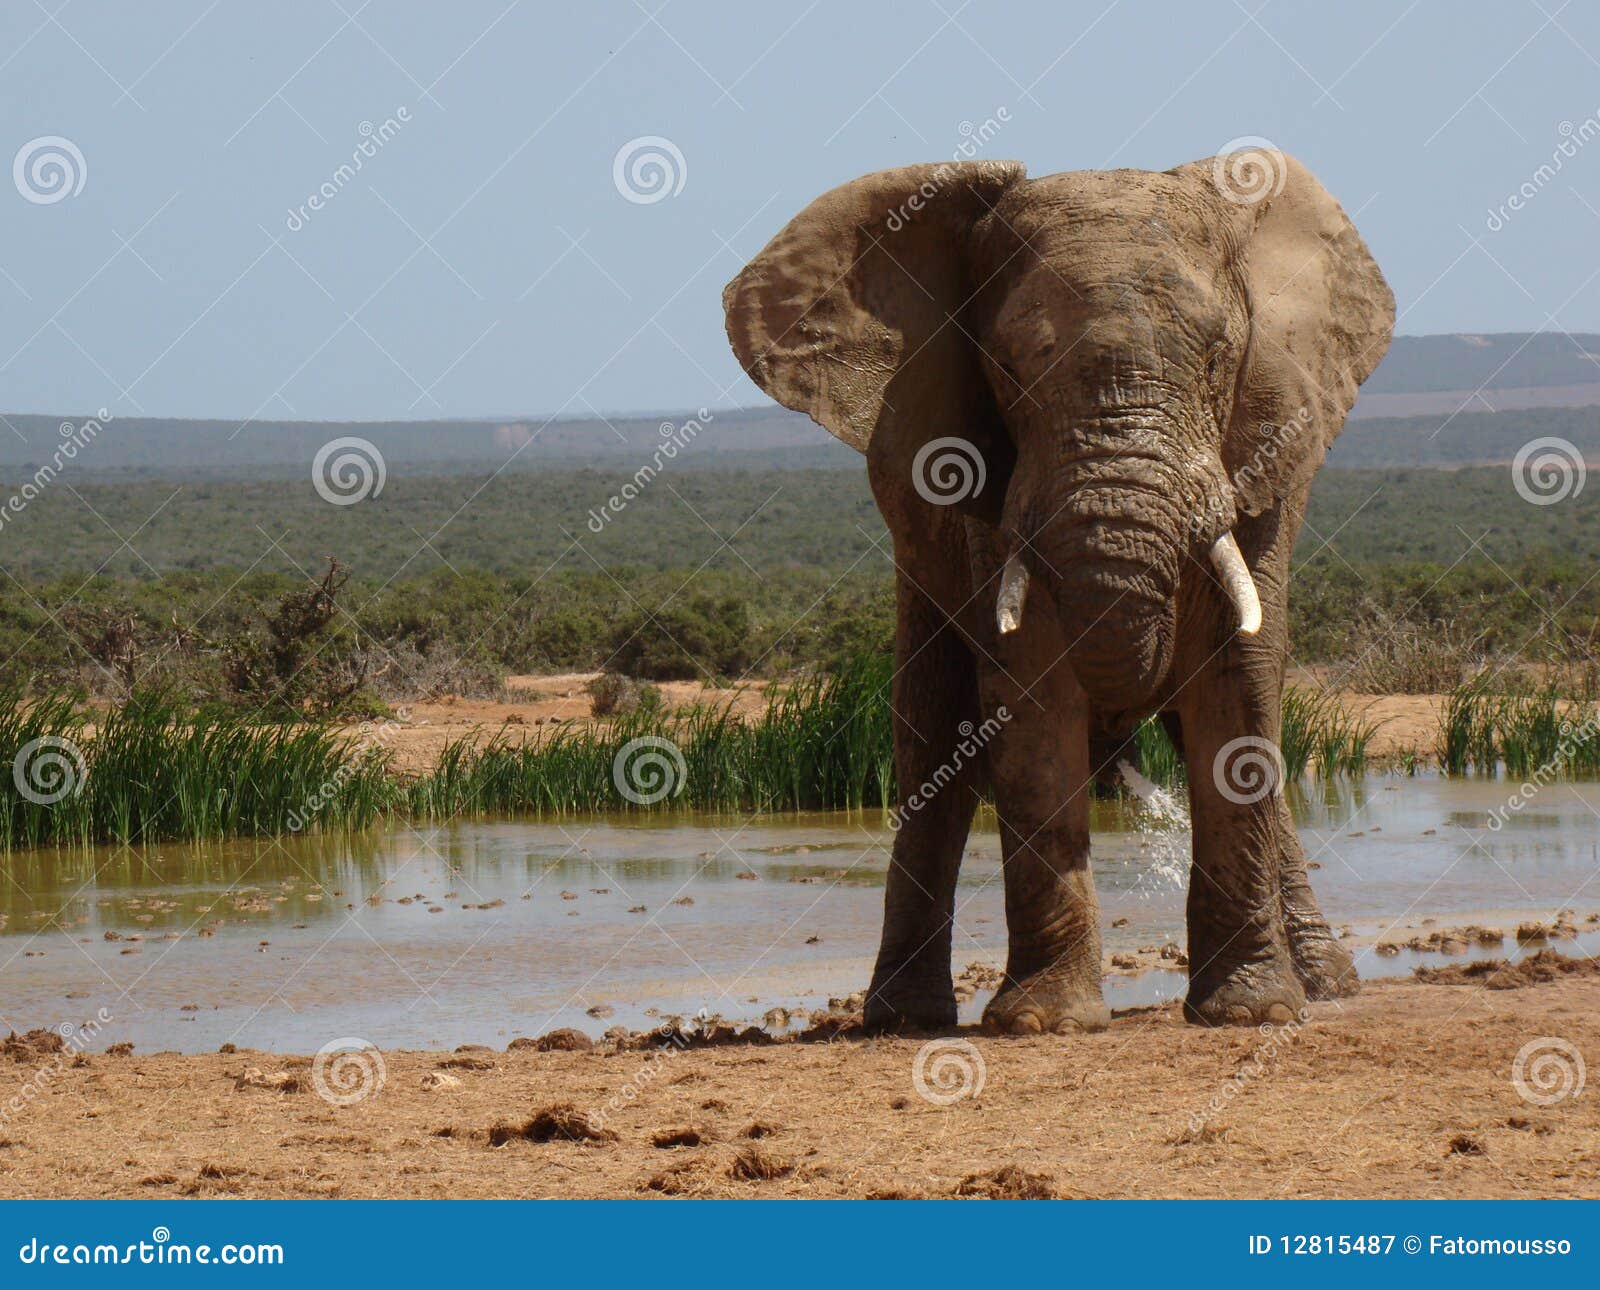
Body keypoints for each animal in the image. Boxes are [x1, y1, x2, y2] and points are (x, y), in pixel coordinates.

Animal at [721, 149, 1394, 1033]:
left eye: (1219, 359)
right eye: (1007, 368)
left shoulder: (1264, 457)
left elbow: (1238, 684)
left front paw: (1251, 1012)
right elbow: (1031, 696)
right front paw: (1045, 1021)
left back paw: (1325, 985)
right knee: (931, 742)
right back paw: (904, 1020)